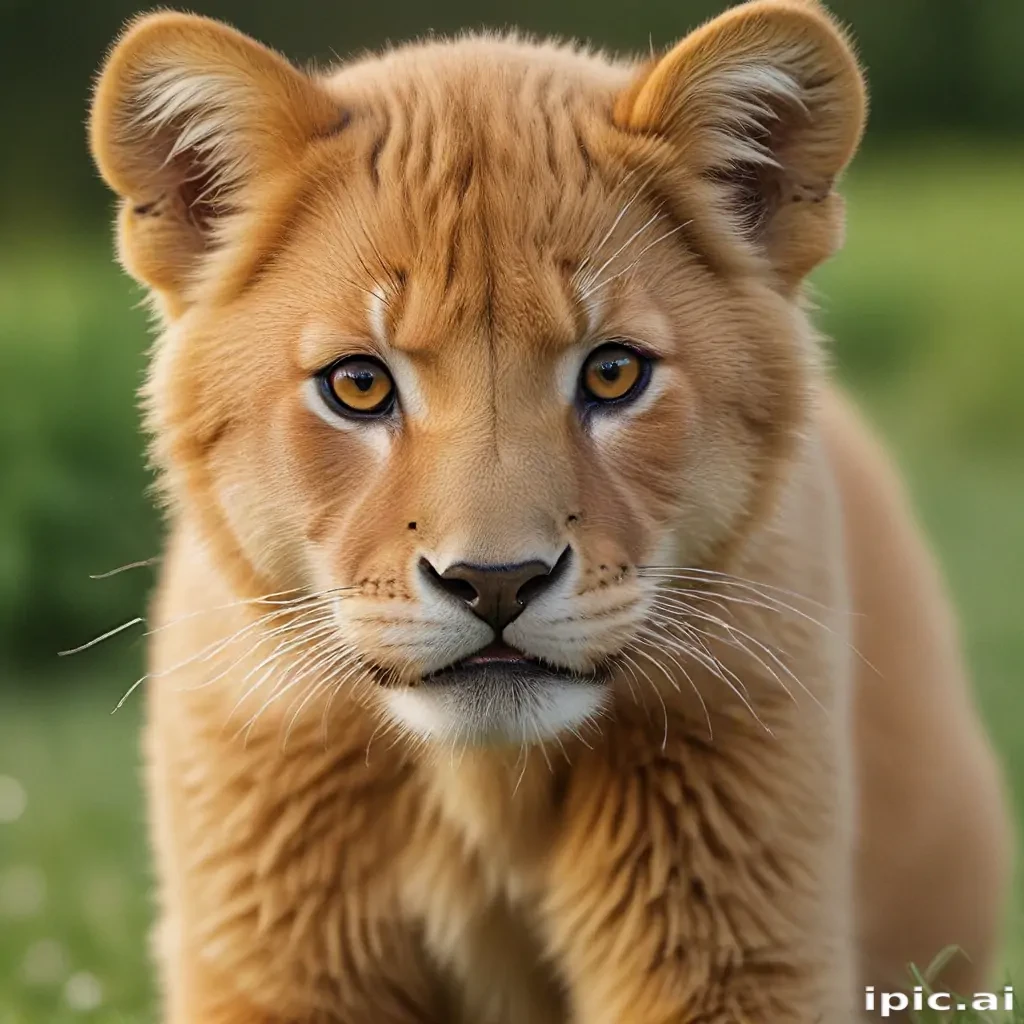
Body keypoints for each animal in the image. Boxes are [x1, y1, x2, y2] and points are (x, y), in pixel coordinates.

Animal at [88, 1, 1012, 1021]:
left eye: (612, 373)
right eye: (359, 385)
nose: (496, 583)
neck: (484, 780)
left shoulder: (733, 936)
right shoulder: (272, 959)